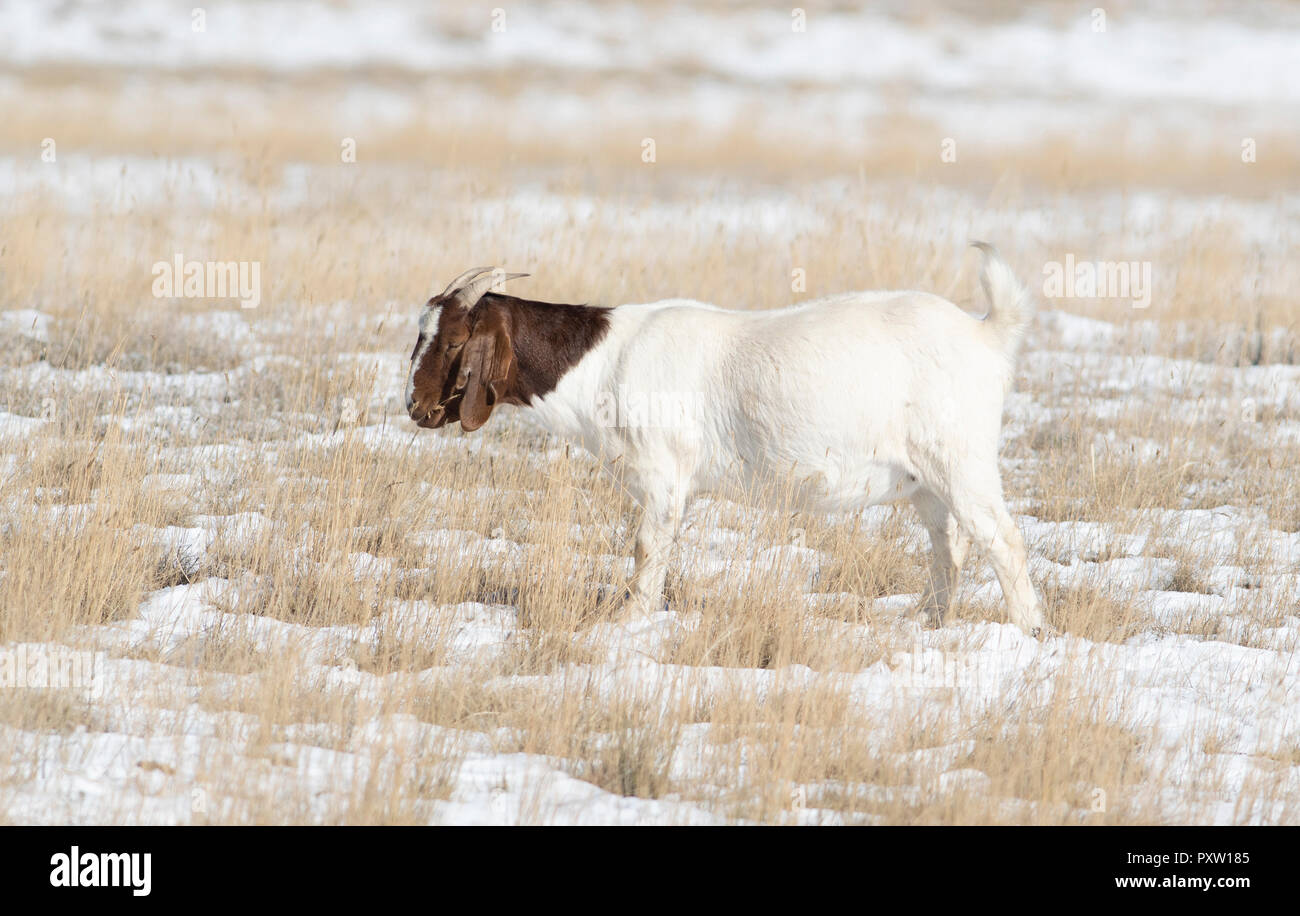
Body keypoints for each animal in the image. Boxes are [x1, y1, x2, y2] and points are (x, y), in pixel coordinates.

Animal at [406, 245, 1045, 635]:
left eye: (455, 340)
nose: (416, 407)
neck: (605, 361)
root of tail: (988, 335)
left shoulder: (663, 477)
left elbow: (647, 550)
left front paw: (627, 623)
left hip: (962, 464)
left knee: (1002, 542)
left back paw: (1029, 630)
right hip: (926, 481)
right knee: (949, 547)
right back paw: (927, 622)